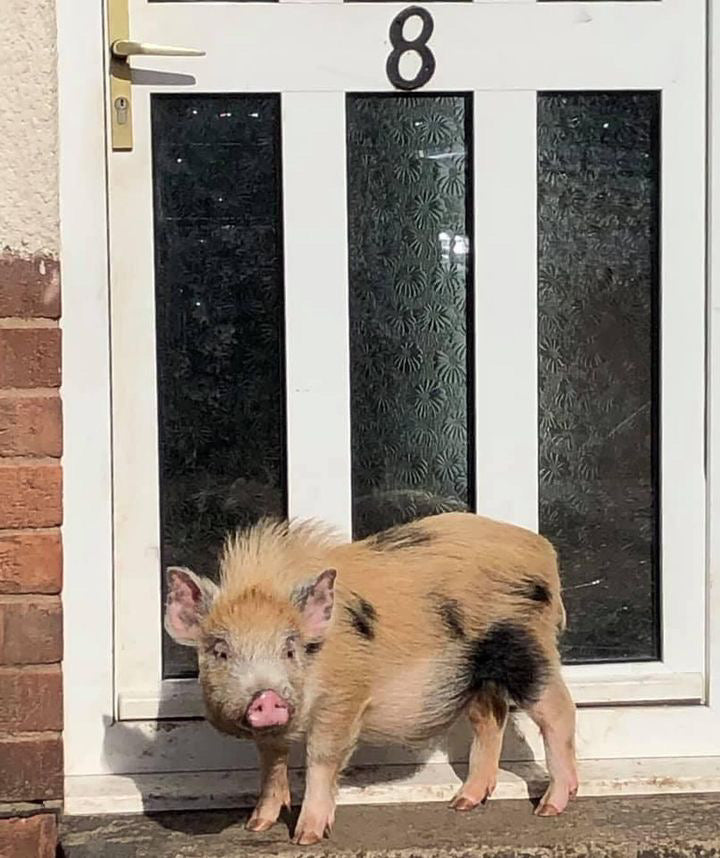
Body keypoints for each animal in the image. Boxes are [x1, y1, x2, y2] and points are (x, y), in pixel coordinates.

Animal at [164, 511, 578, 845]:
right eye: (220, 651)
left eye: (290, 649)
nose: (266, 696)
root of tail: (542, 550)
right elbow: (271, 760)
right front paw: (257, 825)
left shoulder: (343, 699)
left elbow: (321, 757)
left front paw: (306, 838)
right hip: (473, 672)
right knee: (490, 717)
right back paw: (462, 803)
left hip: (527, 649)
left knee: (558, 711)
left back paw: (549, 807)